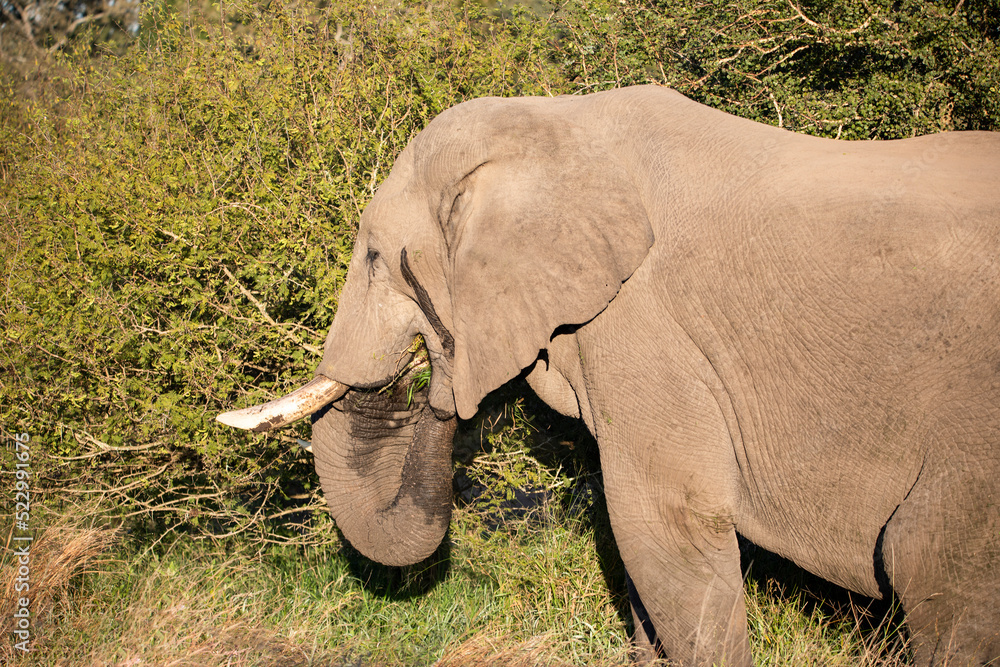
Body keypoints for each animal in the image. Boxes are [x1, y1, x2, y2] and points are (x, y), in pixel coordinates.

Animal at [218, 85, 1000, 666]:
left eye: (378, 257)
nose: (432, 376)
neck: (561, 120)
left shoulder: (644, 324)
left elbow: (658, 518)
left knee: (935, 570)